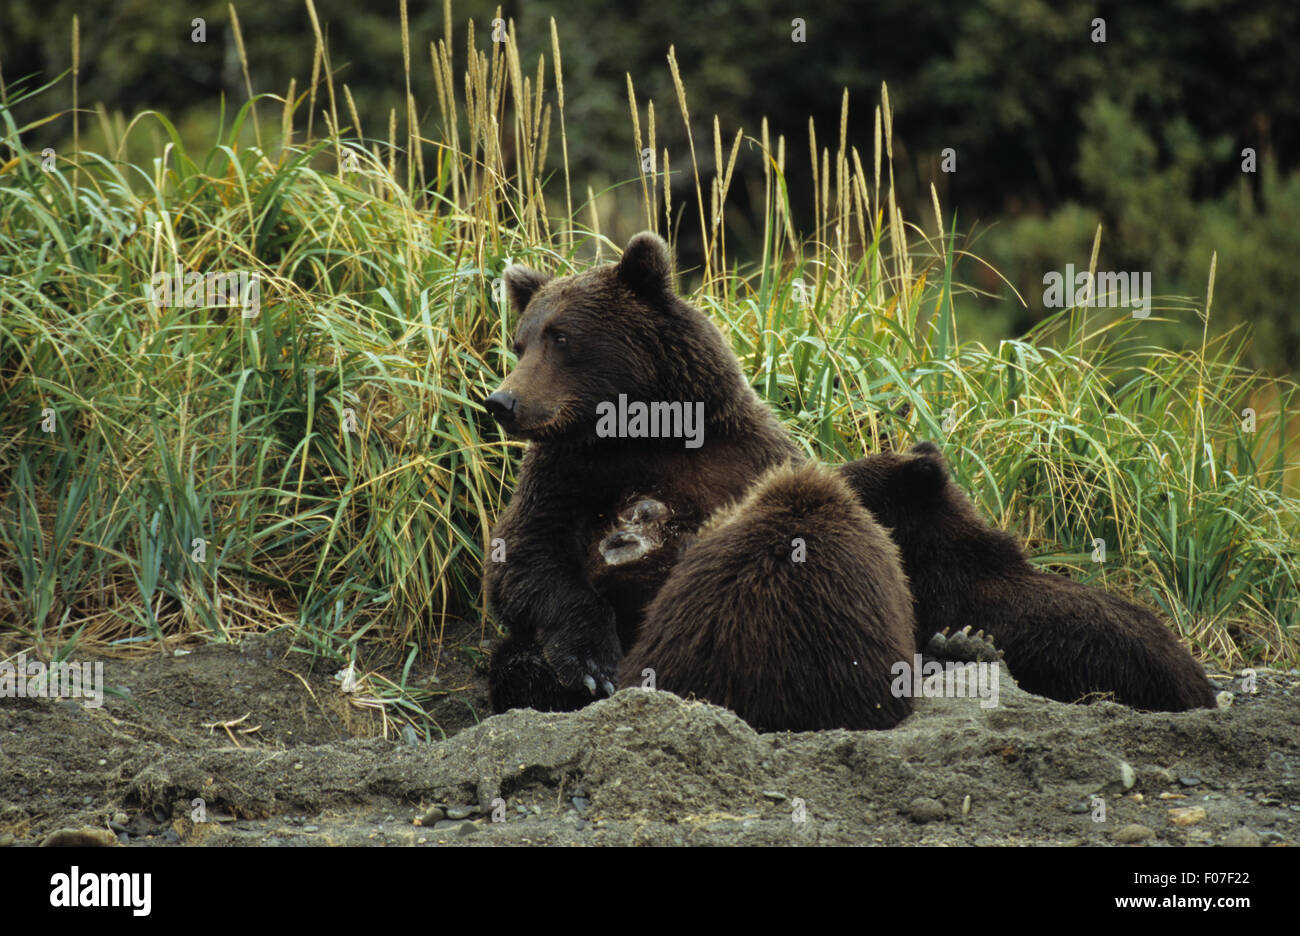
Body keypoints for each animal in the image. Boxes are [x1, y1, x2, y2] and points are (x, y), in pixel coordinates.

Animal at [482, 232, 800, 711]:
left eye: (561, 336)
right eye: (520, 344)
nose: (502, 401)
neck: (649, 429)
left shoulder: (748, 457)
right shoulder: (566, 471)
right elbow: (526, 551)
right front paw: (591, 666)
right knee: (514, 662)